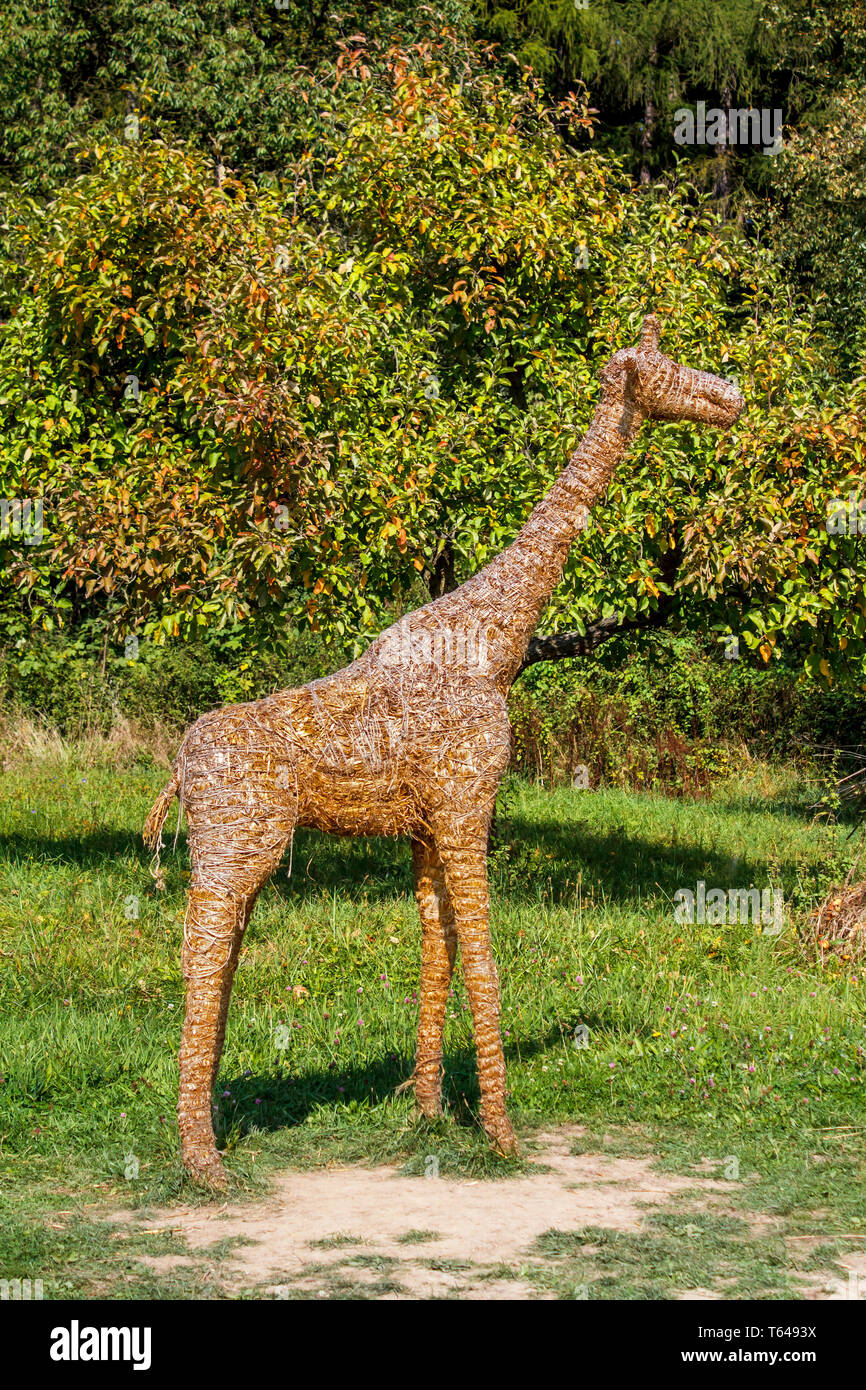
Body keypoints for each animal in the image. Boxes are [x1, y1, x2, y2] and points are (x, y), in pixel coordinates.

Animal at [144, 314, 744, 1187]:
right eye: (667, 370)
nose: (732, 398)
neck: (493, 639)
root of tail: (177, 772)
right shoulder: (468, 802)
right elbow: (486, 955)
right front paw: (502, 1135)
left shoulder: (426, 824)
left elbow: (438, 947)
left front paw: (427, 1111)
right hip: (237, 841)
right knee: (200, 955)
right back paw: (203, 1165)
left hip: (233, 848)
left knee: (214, 957)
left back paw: (213, 1137)